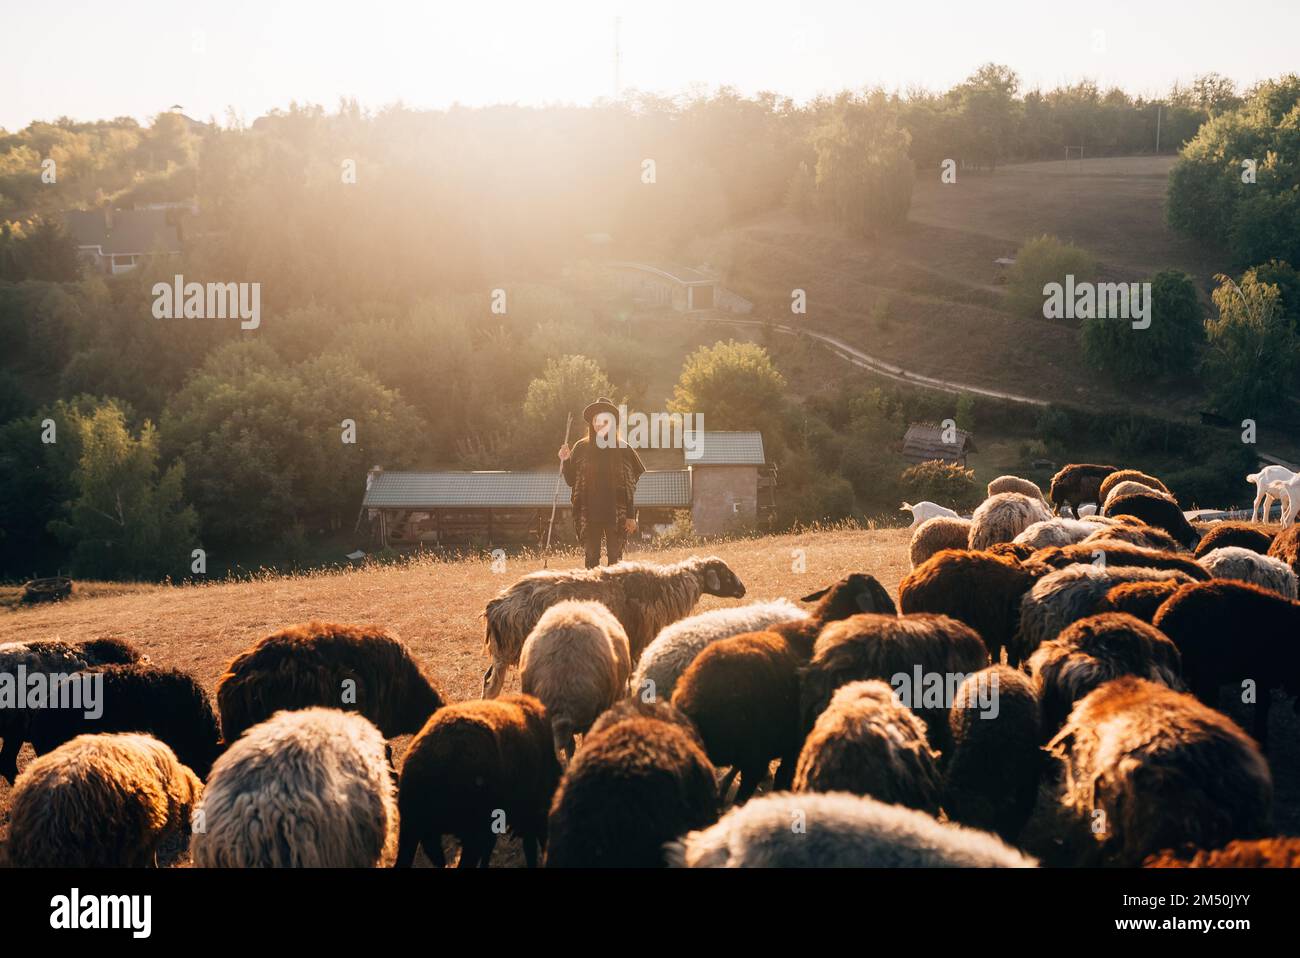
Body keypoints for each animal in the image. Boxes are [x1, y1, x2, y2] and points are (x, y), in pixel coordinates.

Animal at [482, 556, 746, 697]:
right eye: (725, 573)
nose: (743, 589)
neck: (669, 587)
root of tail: (497, 605)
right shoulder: (639, 643)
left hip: (501, 654)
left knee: (488, 684)